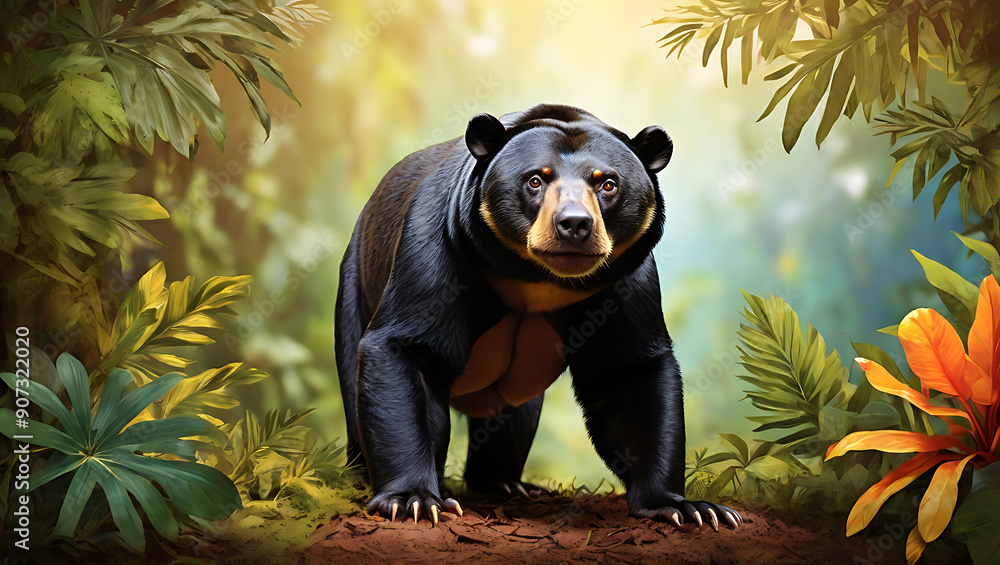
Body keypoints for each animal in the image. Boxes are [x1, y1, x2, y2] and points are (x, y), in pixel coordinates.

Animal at [335, 103, 741, 530]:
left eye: (607, 184)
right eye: (535, 180)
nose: (575, 224)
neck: (538, 281)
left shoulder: (627, 281)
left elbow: (630, 376)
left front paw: (689, 508)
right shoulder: (435, 251)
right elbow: (404, 349)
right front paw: (411, 500)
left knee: (513, 418)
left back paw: (506, 484)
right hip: (354, 285)